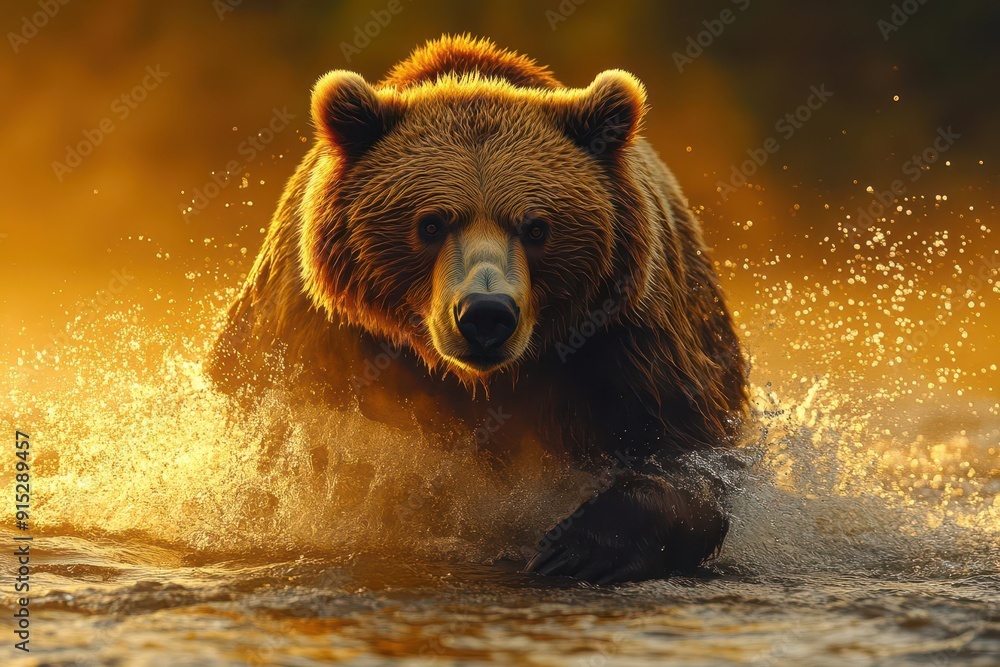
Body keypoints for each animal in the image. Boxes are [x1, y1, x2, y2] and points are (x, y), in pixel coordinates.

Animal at [208, 34, 748, 584]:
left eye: (537, 227)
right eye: (430, 224)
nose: (486, 314)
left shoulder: (622, 338)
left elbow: (685, 452)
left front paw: (575, 546)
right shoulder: (321, 335)